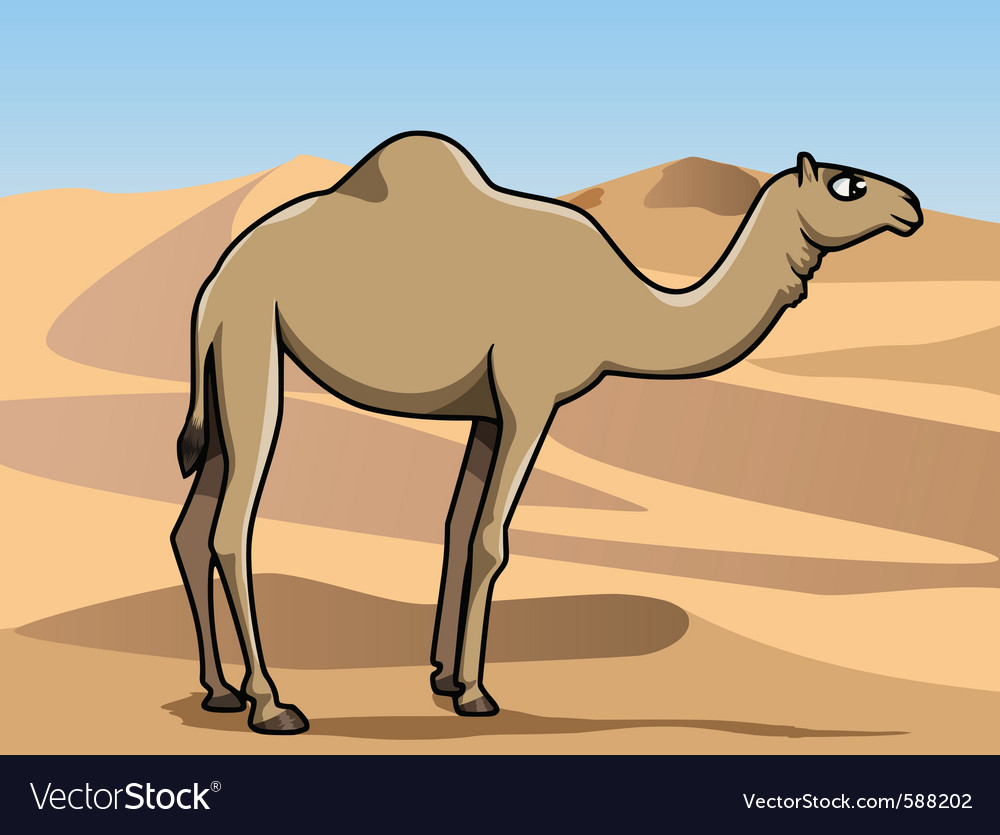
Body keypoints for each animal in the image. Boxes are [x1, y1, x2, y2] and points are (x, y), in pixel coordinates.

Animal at [170, 131, 922, 734]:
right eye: (848, 183)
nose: (913, 207)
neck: (620, 305)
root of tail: (212, 283)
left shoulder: (487, 409)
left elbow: (456, 527)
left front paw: (445, 676)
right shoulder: (530, 398)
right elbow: (490, 538)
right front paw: (476, 693)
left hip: (228, 361)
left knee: (190, 526)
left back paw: (219, 690)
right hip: (253, 344)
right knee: (231, 527)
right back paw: (272, 704)